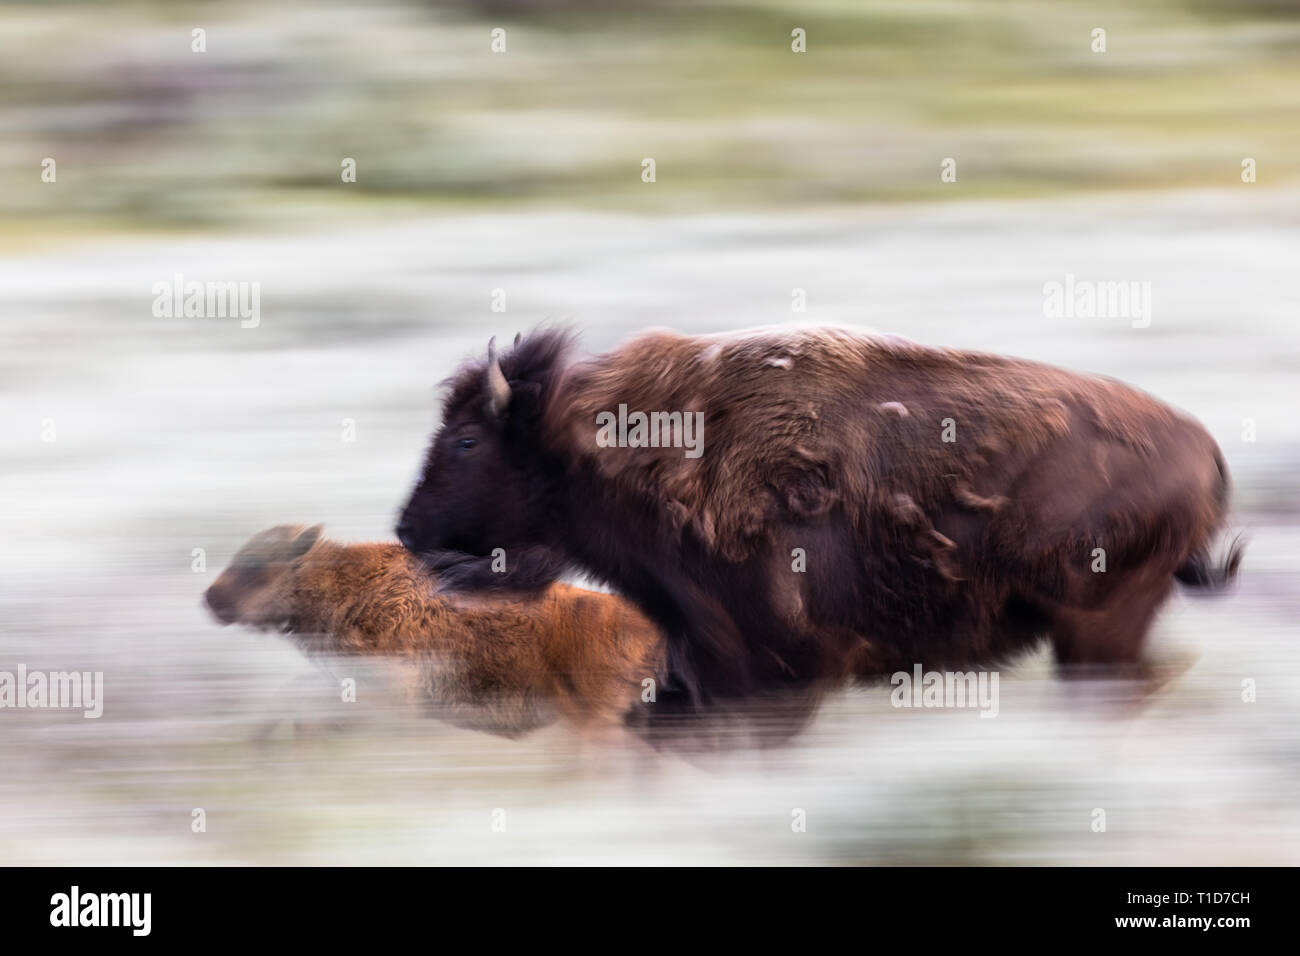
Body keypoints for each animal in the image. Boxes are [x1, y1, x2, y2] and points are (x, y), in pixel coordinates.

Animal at [396, 326, 1242, 733]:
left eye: (467, 440)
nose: (406, 529)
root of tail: (1205, 448)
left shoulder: (771, 674)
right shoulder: (696, 667)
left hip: (1097, 631)